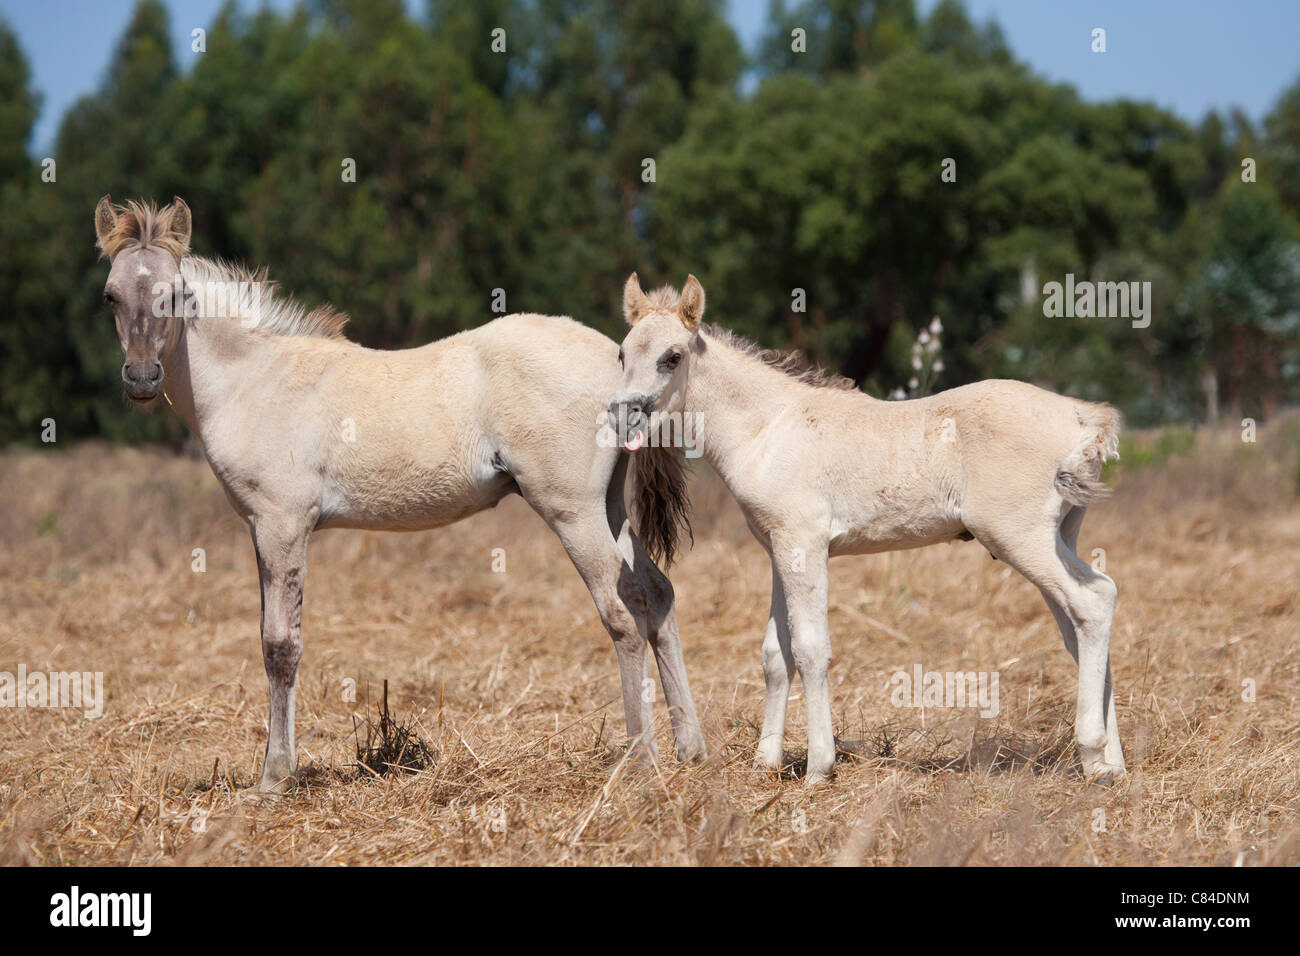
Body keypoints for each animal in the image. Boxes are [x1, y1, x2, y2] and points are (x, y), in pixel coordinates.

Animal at [92, 195, 704, 792]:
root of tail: (620, 368)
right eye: (111, 296)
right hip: (609, 507)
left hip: (572, 510)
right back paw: (690, 749)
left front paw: (274, 777)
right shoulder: (259, 529)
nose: (141, 378)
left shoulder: (282, 523)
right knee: (655, 595)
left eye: (175, 295)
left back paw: (642, 762)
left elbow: (280, 646)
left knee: (620, 611)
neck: (254, 382)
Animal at [608, 273, 1125, 786]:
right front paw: (764, 764)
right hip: (1059, 536)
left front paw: (819, 767)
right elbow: (776, 654)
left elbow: (811, 648)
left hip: (1019, 537)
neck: (767, 427)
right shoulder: (780, 550)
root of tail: (1080, 414)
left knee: (1094, 600)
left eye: (672, 357)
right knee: (1082, 622)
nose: (621, 416)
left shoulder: (804, 544)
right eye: (622, 353)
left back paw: (1091, 746)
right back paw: (1108, 765)